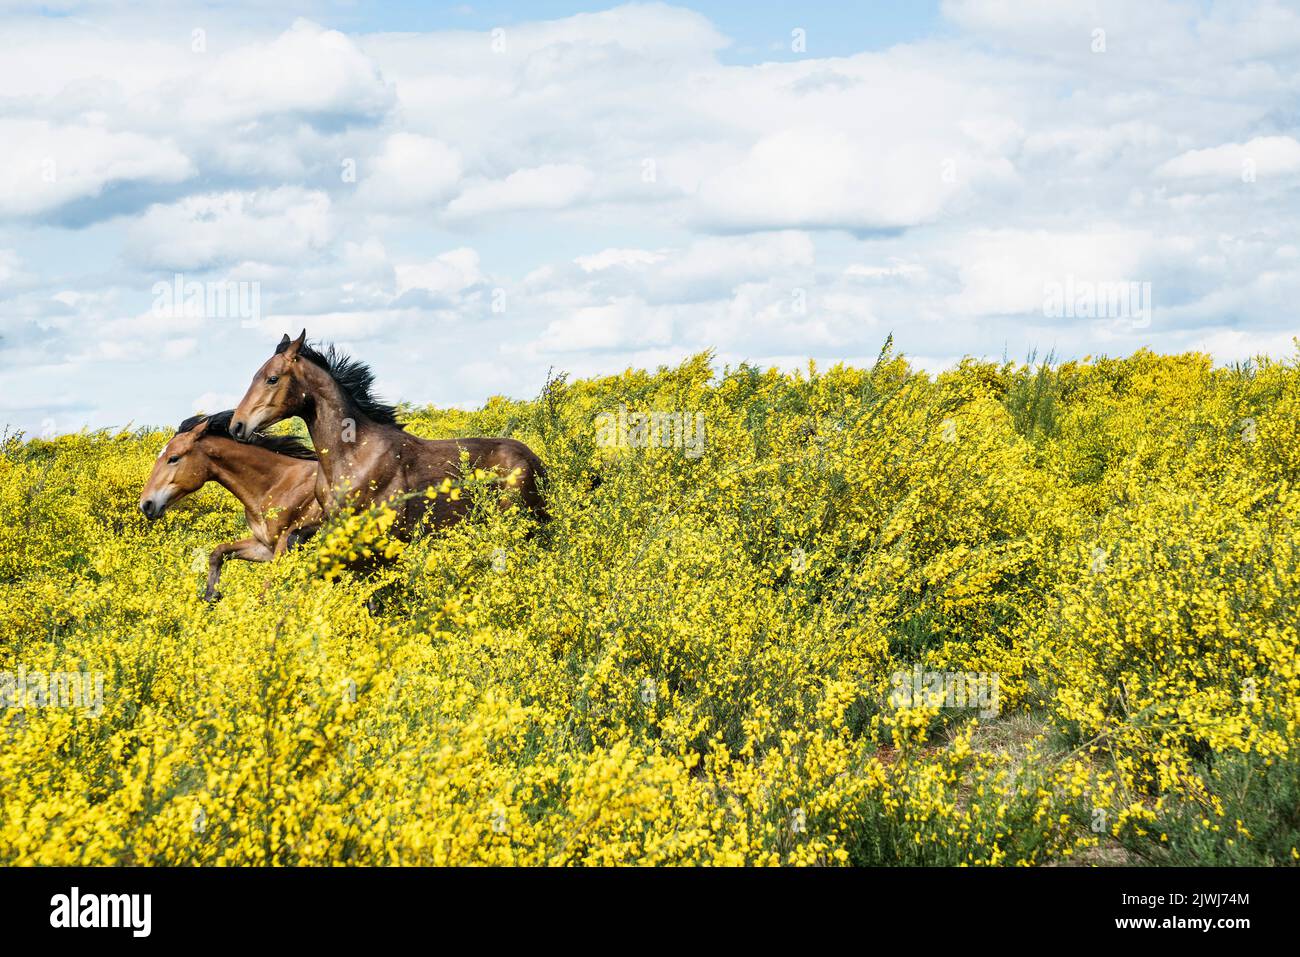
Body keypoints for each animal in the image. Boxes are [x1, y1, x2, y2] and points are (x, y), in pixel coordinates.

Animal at [139, 410, 323, 600]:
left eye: (173, 458)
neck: (278, 484)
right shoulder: (264, 547)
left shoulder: (282, 547)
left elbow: (265, 592)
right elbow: (219, 552)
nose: (146, 504)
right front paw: (212, 596)